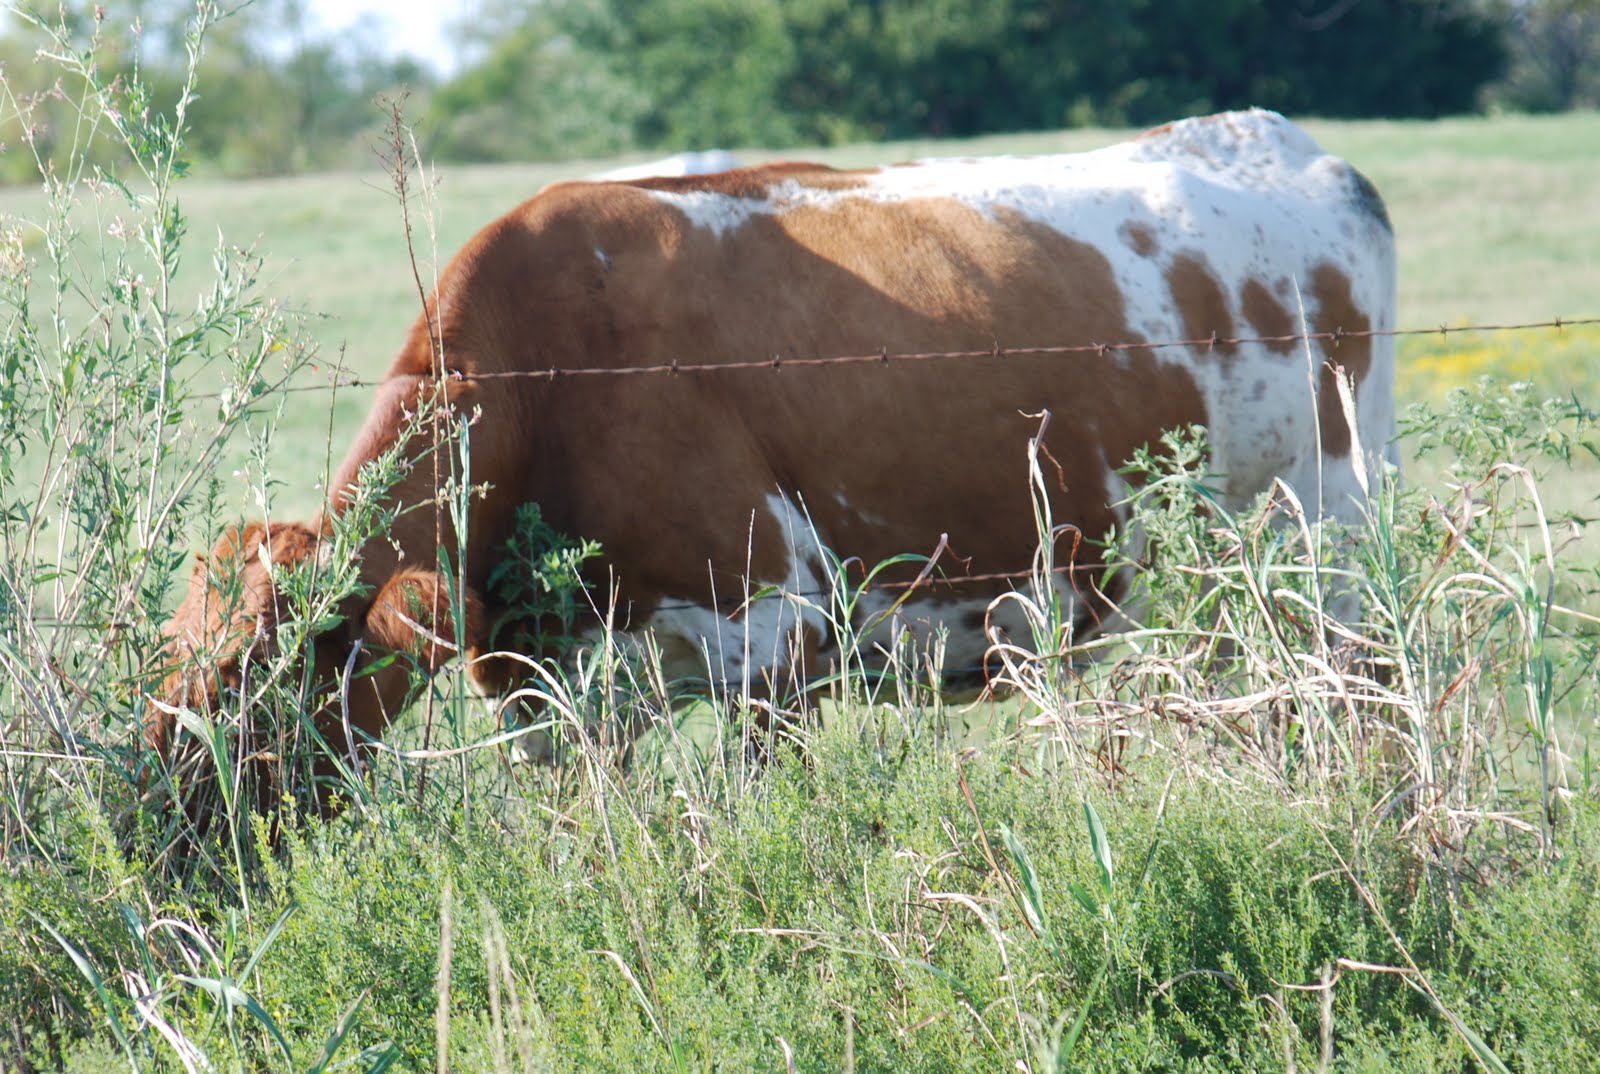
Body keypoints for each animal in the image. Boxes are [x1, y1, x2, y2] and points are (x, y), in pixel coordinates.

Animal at [150, 109, 1396, 787]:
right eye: (167, 666)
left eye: (245, 688)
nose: (148, 821)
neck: (545, 373)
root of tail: (1291, 148)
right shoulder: (544, 690)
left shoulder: (770, 629)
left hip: (1326, 547)